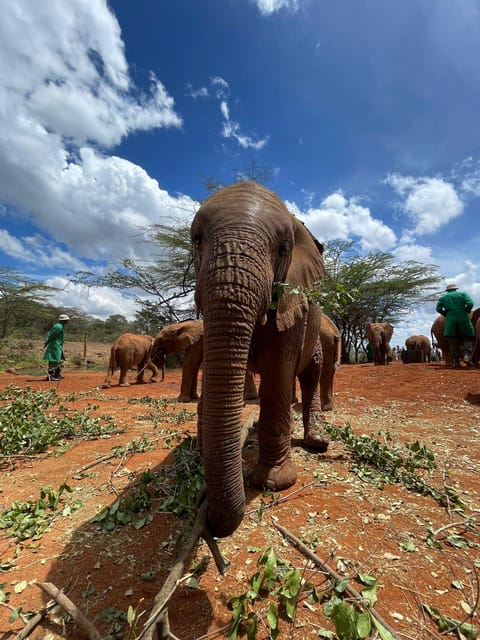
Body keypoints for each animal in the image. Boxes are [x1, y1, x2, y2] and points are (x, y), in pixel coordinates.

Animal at [191, 181, 326, 537]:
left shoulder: (293, 298)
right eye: (197, 239)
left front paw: (273, 483)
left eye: (282, 249)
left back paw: (317, 442)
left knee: (311, 373)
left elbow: (279, 368)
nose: (211, 524)